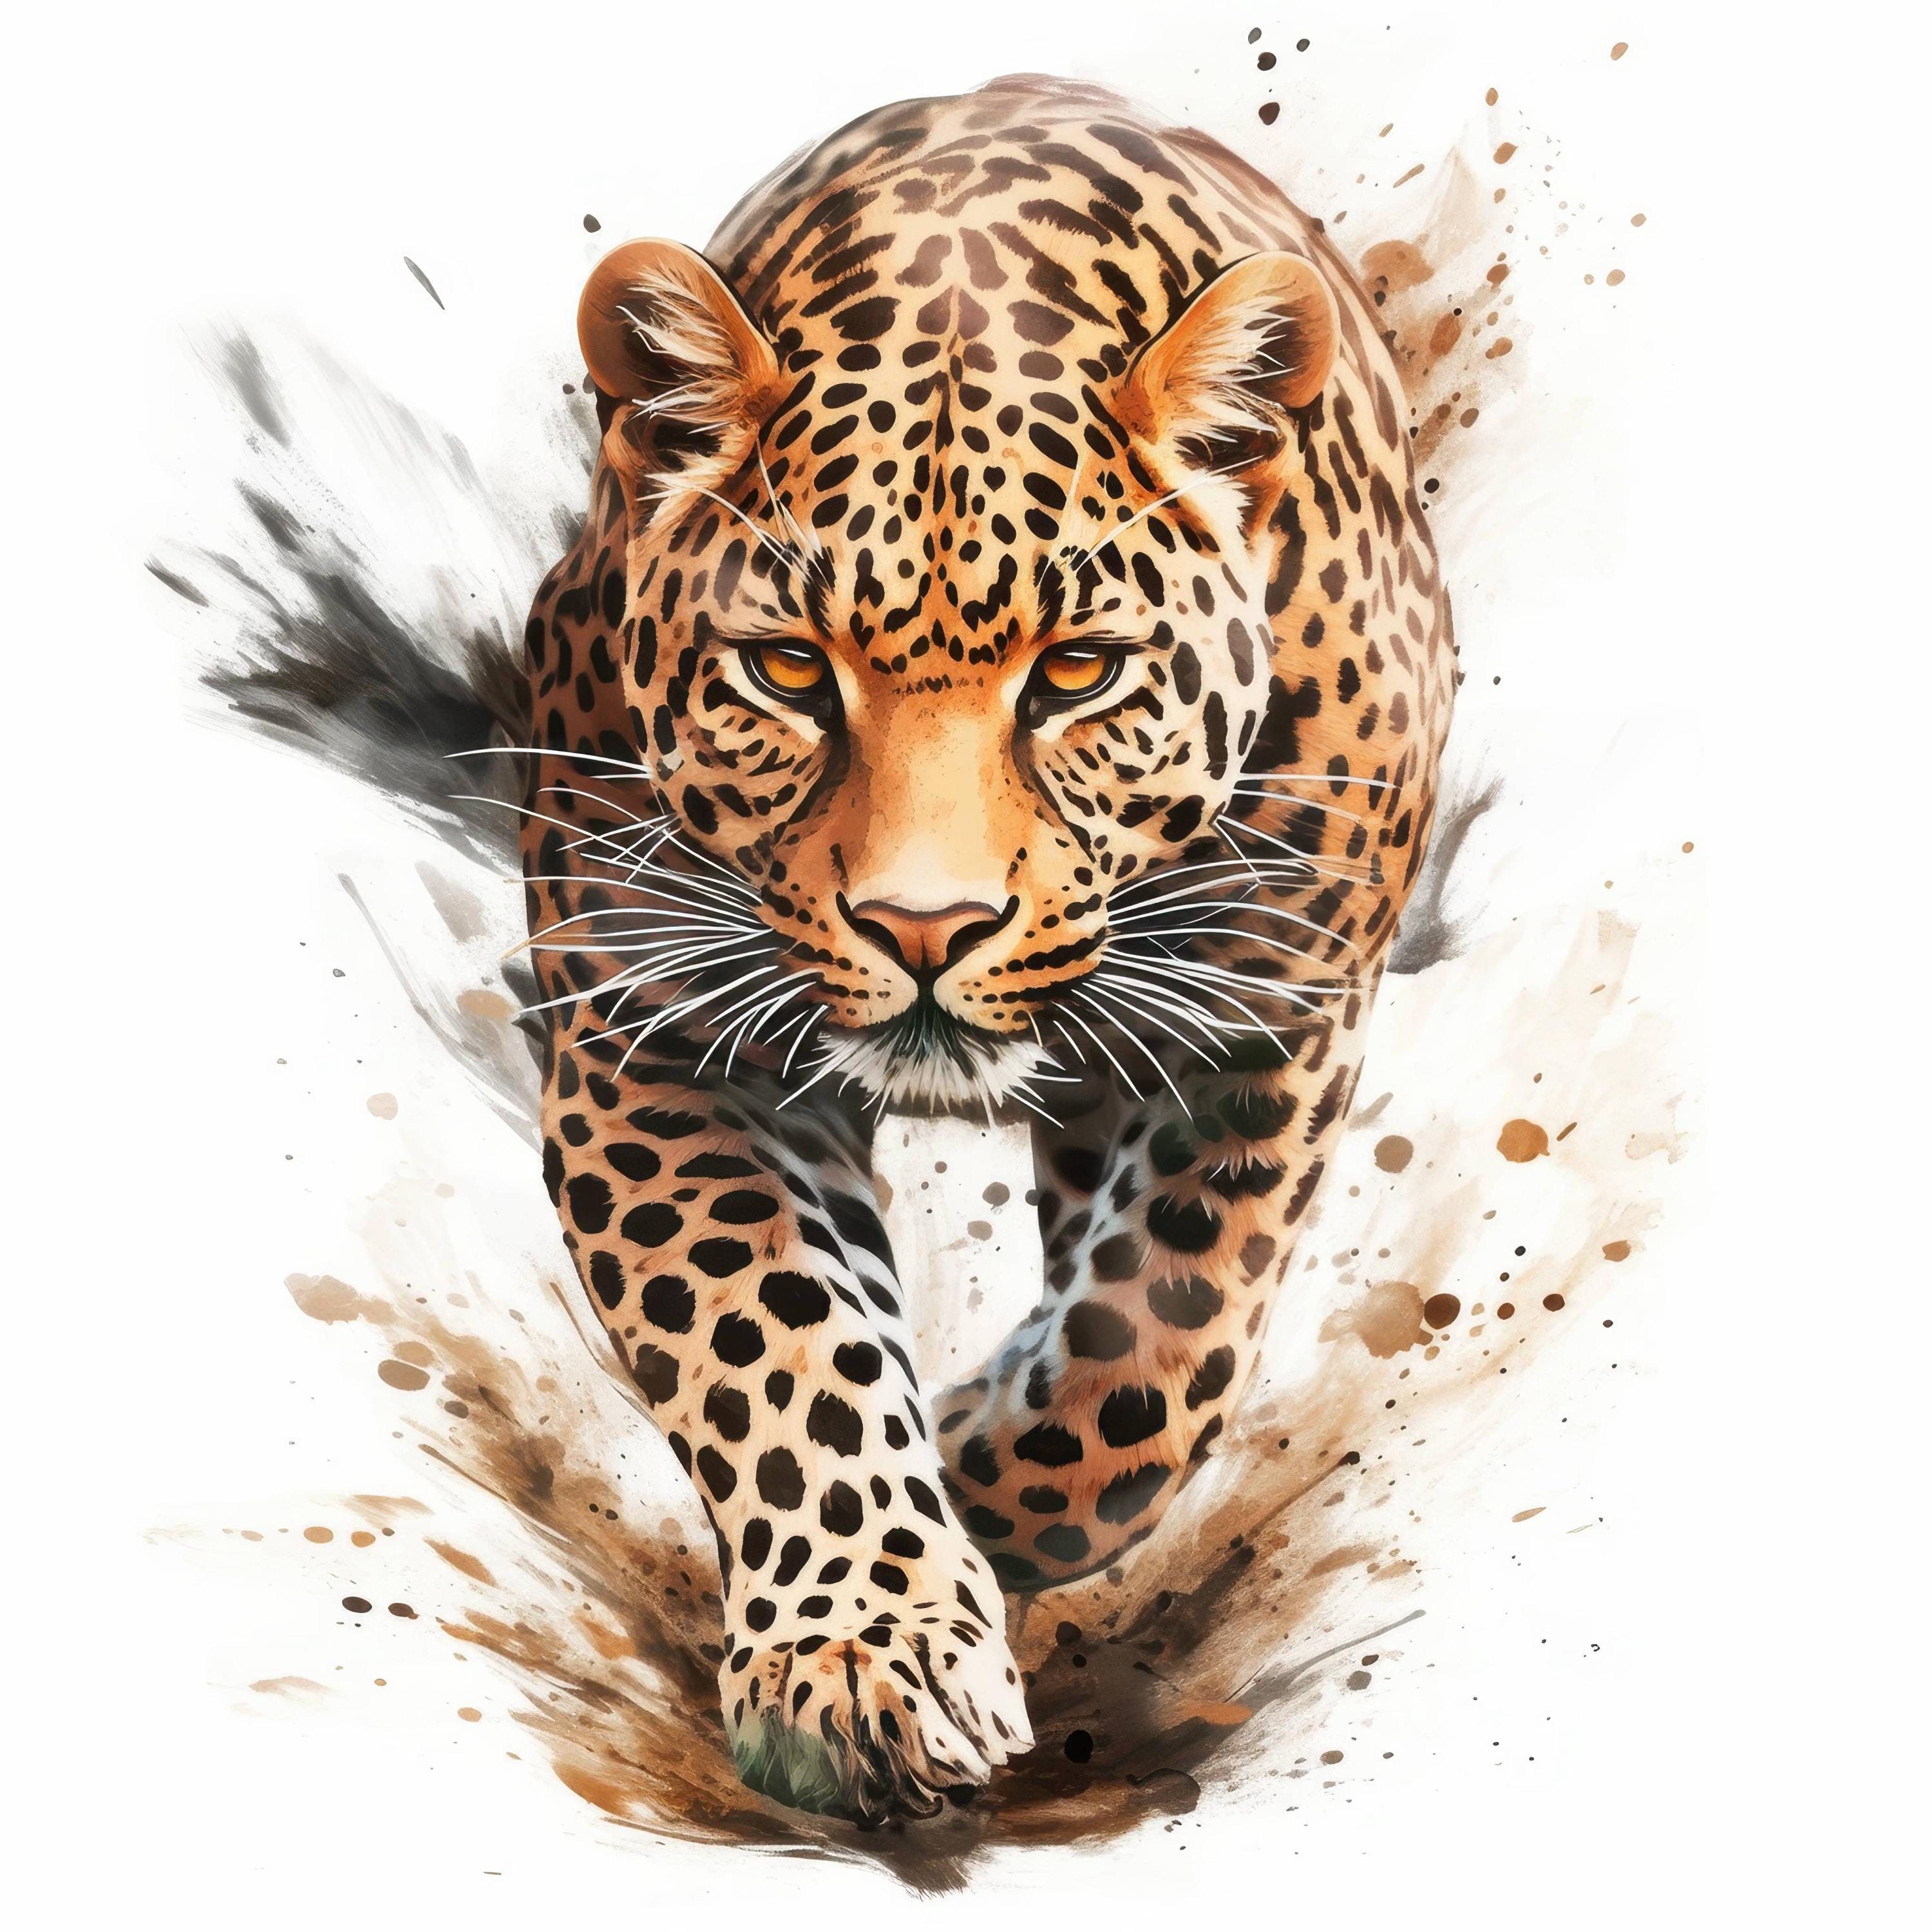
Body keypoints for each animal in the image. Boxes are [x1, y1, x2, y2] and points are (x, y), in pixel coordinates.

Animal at [512, 74, 1454, 1825]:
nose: (925, 926)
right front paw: (864, 1649)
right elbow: (775, 1338)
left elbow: (1153, 1352)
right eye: (785, 670)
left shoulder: (1269, 1021)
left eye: (1078, 671)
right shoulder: (651, 1033)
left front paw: (979, 1480)